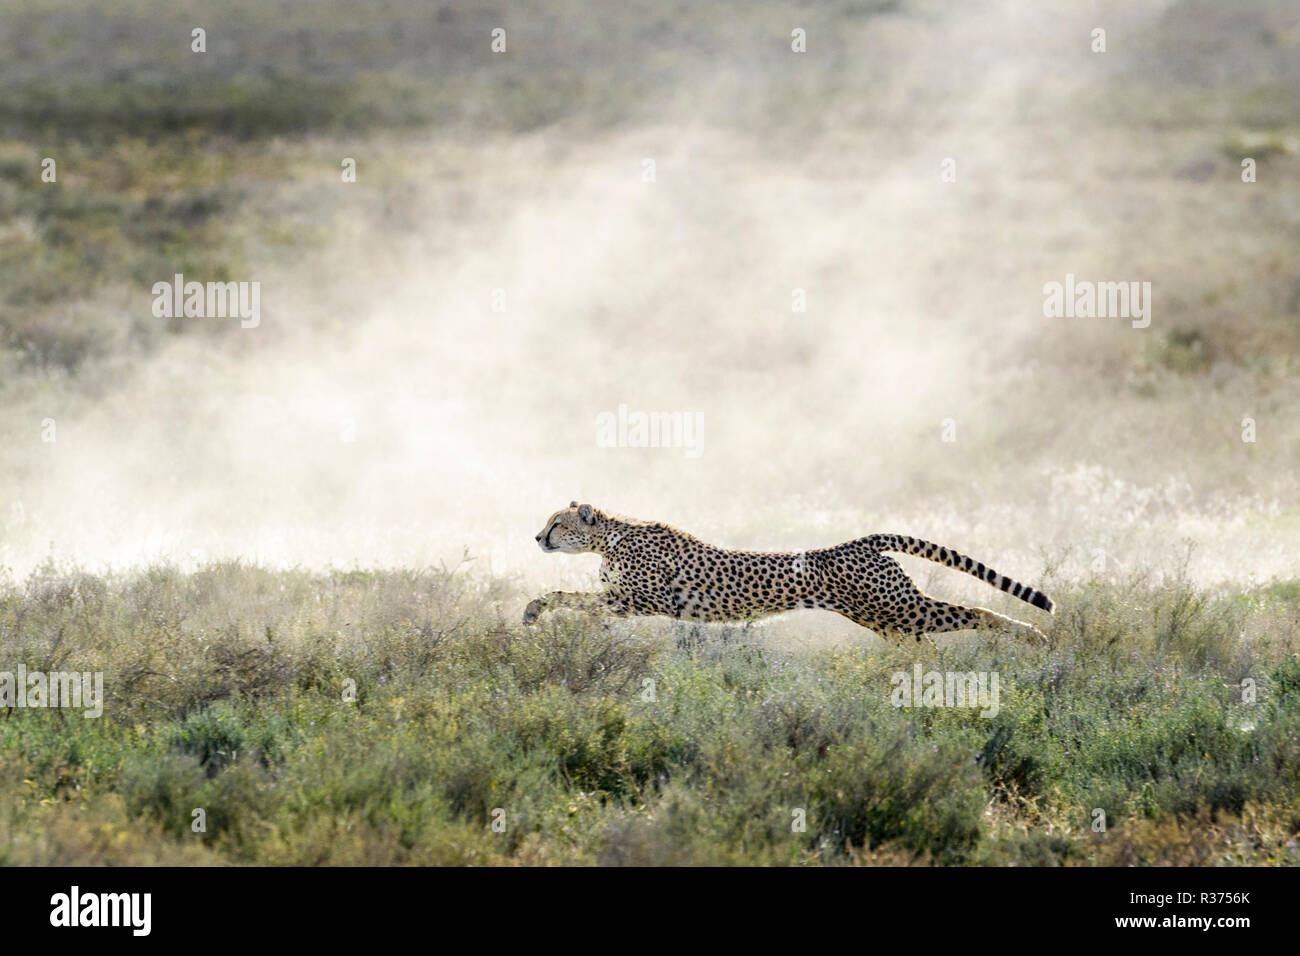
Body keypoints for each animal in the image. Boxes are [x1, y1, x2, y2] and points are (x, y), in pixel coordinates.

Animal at [523, 502, 1054, 645]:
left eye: (556, 523)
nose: (537, 537)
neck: (609, 537)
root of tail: (858, 541)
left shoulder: (645, 601)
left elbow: (565, 594)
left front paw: (534, 610)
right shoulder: (627, 603)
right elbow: (582, 601)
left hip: (899, 607)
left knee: (976, 609)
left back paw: (1032, 637)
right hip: (885, 619)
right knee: (925, 647)